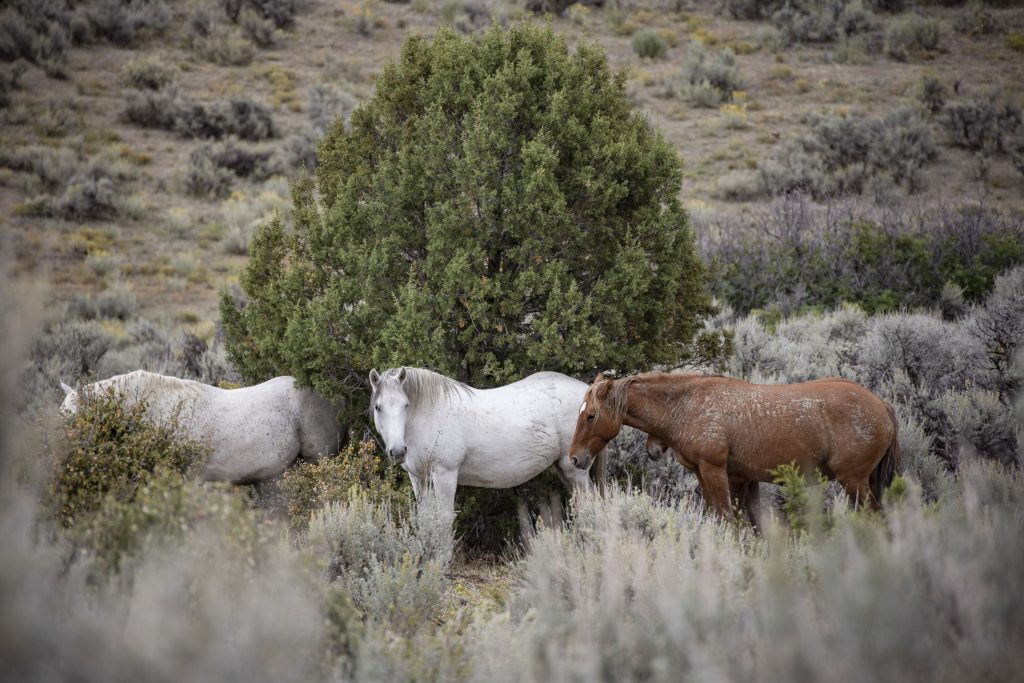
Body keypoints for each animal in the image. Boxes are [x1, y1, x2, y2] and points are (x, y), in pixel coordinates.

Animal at [368, 366, 606, 521]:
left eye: (406, 404)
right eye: (378, 407)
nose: (398, 451)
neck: (428, 416)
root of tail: (588, 393)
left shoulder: (444, 473)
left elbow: (444, 519)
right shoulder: (418, 477)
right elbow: (425, 518)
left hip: (575, 469)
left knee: (589, 504)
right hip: (564, 468)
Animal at [570, 372, 900, 515]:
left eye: (590, 415)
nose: (575, 458)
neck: (688, 405)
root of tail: (882, 405)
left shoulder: (716, 471)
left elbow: (727, 517)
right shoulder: (712, 476)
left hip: (853, 481)